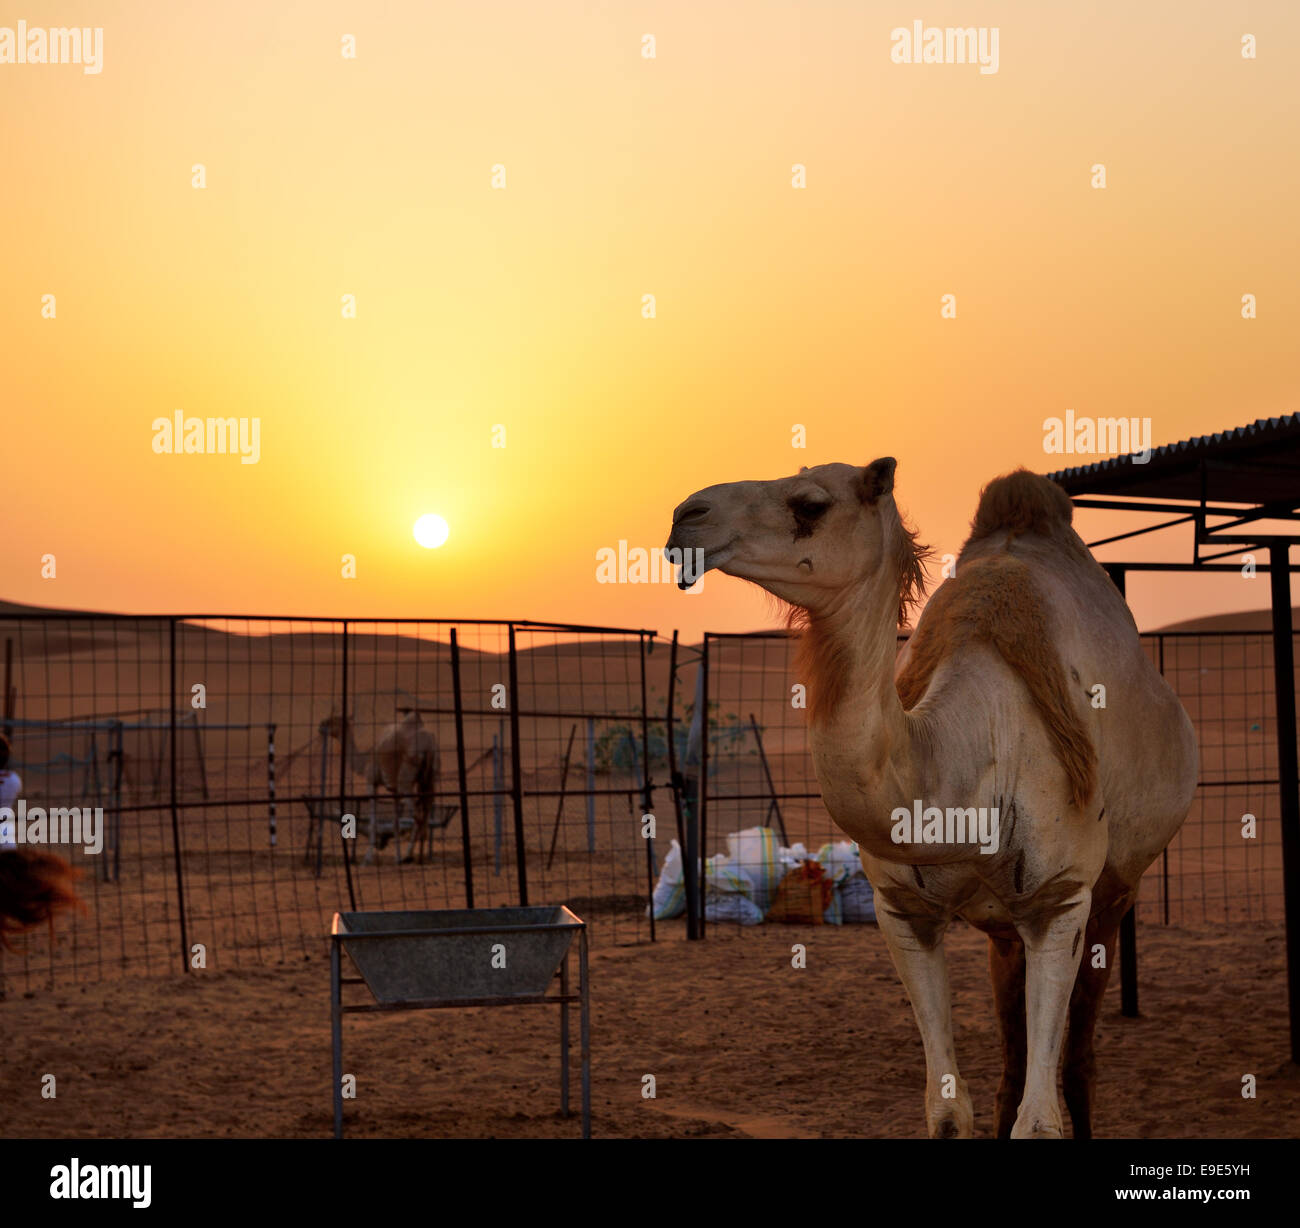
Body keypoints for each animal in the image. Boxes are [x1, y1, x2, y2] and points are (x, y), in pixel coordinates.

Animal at [318, 710, 450, 864]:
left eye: (333, 720)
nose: (321, 725)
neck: (365, 760)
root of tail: (428, 746)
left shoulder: (371, 782)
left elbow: (373, 823)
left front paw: (367, 859)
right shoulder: (394, 791)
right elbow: (395, 823)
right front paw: (397, 857)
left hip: (406, 780)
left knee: (417, 815)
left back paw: (409, 855)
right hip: (431, 777)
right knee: (426, 810)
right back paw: (420, 856)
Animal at [665, 458, 1197, 1139]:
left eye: (810, 503)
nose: (685, 517)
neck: (971, 755)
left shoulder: (1058, 900)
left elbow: (1038, 1123)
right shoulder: (904, 910)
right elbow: (947, 1109)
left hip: (1116, 890)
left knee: (1077, 1060)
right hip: (1005, 925)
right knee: (1011, 1053)